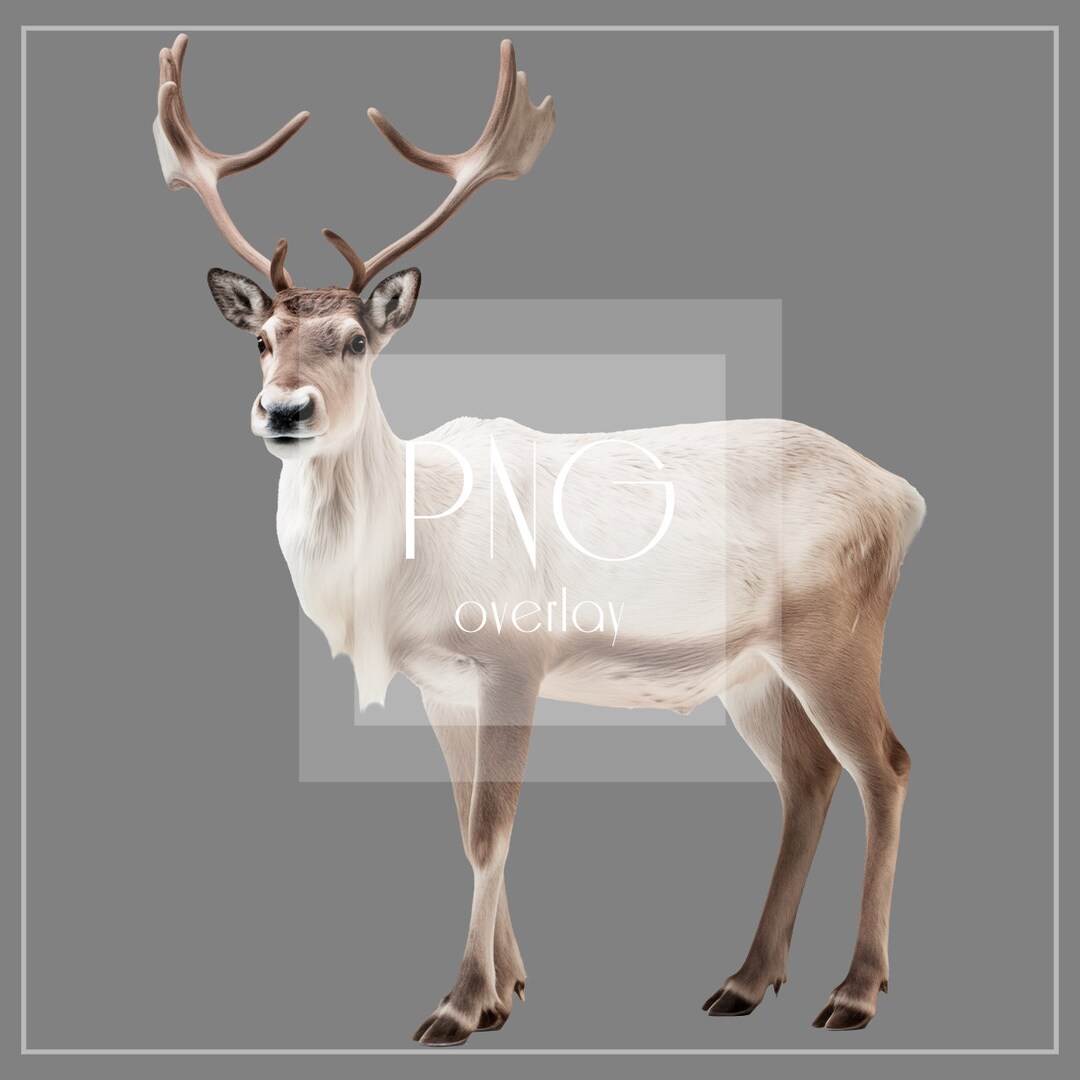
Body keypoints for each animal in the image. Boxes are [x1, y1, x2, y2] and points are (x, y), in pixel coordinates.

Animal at [153, 33, 926, 1045]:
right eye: (261, 339)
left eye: (357, 338)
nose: (284, 410)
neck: (405, 566)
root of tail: (904, 496)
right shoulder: (442, 685)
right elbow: (464, 824)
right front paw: (506, 991)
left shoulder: (513, 656)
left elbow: (493, 827)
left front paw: (457, 1004)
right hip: (755, 668)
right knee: (808, 778)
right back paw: (746, 981)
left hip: (836, 632)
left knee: (885, 766)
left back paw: (855, 991)